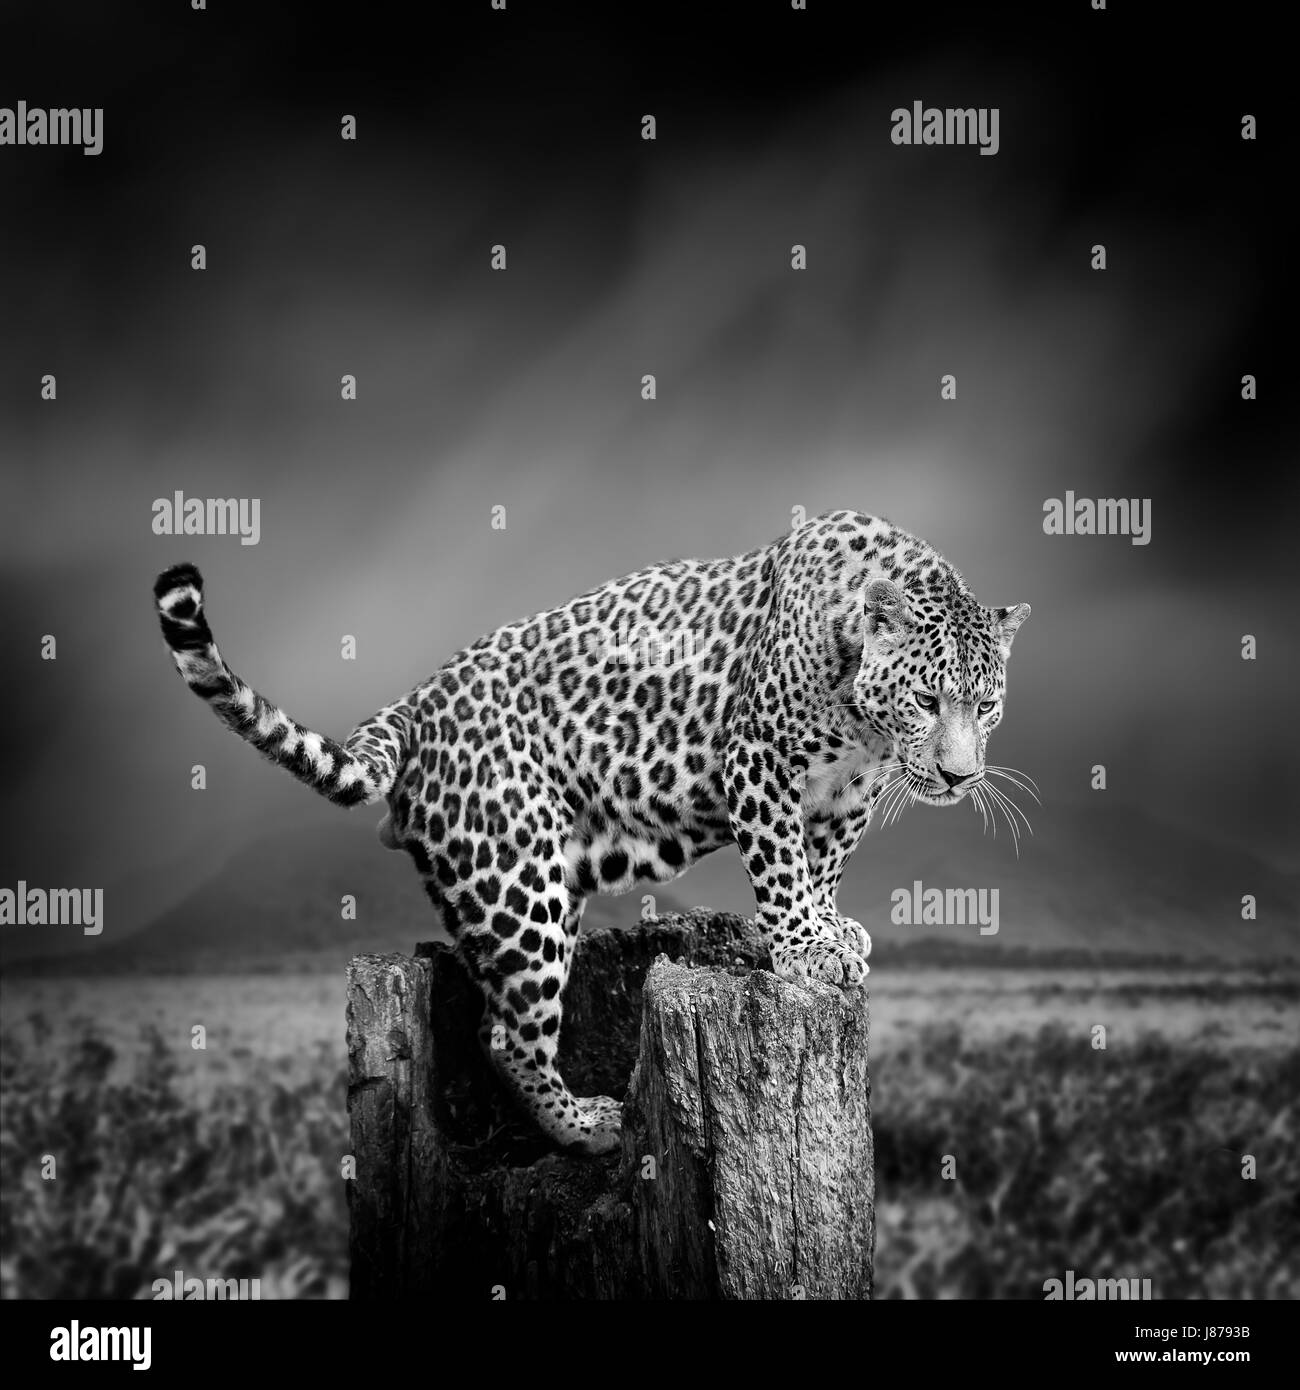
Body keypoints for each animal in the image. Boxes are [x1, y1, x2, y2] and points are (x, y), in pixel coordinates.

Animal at [153, 509, 1029, 1155]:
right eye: (927, 700)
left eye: (986, 705)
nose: (959, 776)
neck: (864, 722)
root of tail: (414, 703)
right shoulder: (757, 764)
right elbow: (783, 866)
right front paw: (803, 949)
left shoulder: (847, 797)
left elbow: (824, 867)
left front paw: (832, 930)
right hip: (517, 884)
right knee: (506, 1035)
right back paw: (588, 1129)